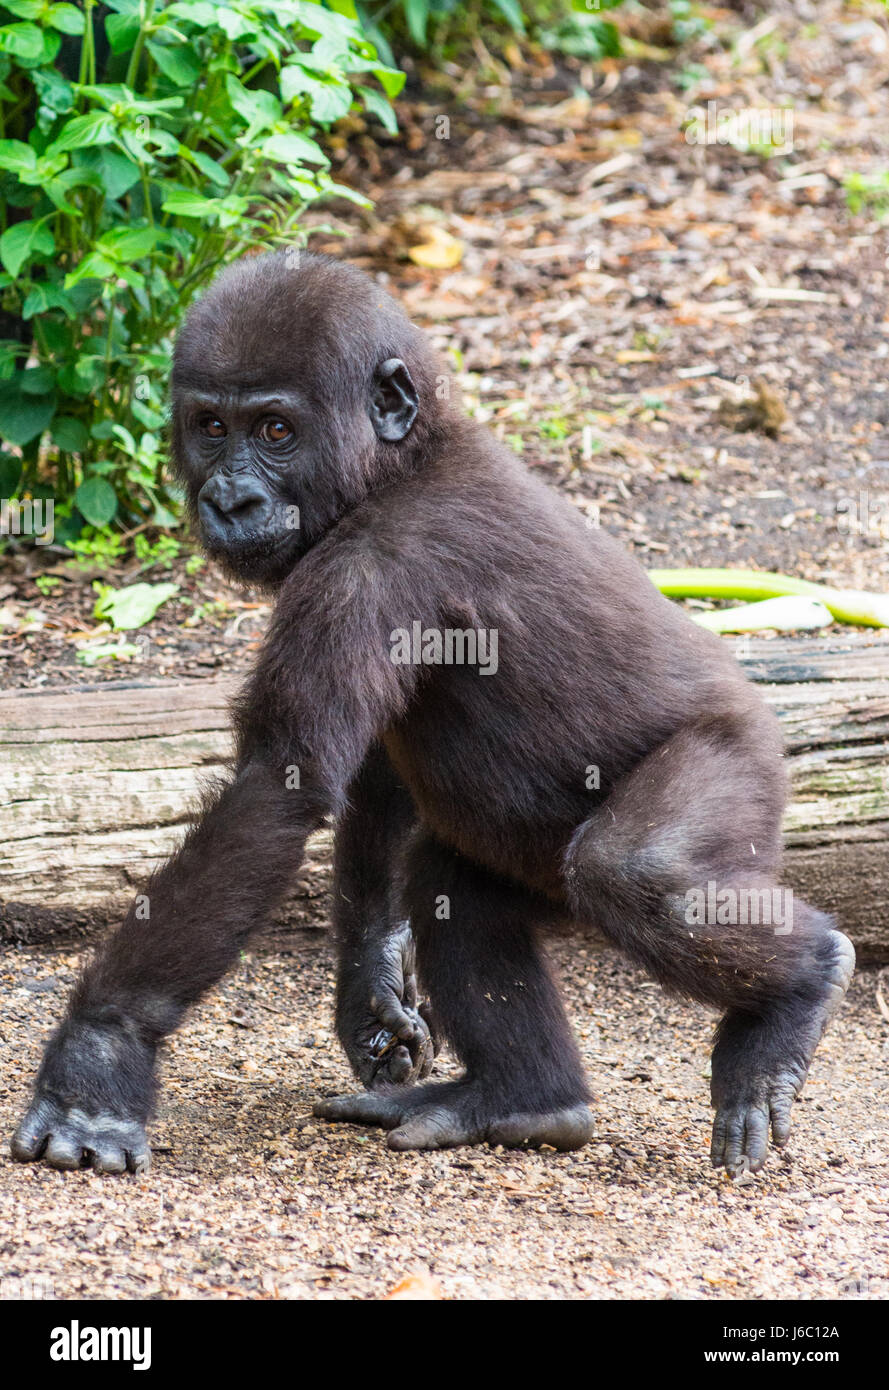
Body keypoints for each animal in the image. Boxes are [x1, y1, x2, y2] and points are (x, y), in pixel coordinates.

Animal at [11, 251, 854, 1177]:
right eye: (210, 425)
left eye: (275, 431)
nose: (230, 501)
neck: (403, 462)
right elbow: (371, 776)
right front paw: (370, 985)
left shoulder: (363, 571)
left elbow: (278, 785)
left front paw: (100, 1055)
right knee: (458, 891)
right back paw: (525, 1100)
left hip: (740, 764)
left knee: (635, 871)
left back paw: (799, 989)